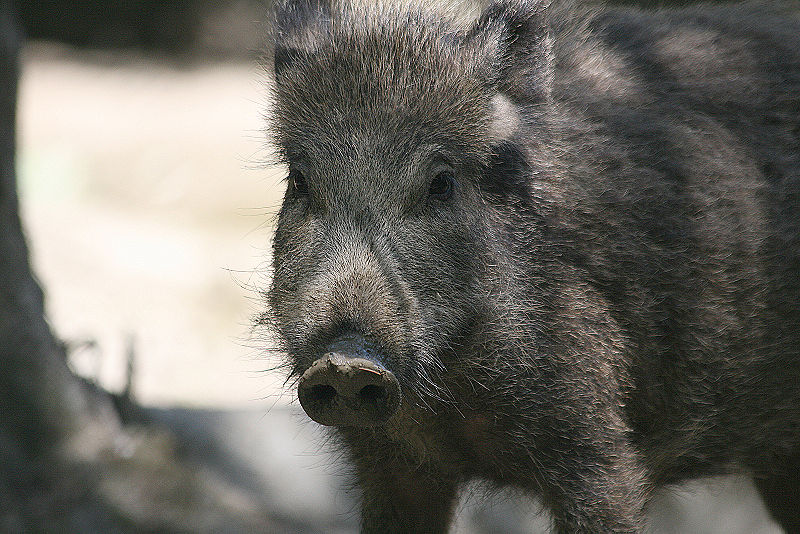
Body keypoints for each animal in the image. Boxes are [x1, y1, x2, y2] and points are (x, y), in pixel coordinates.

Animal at [264, 0, 800, 532]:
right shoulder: (391, 462)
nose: (343, 363)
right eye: (300, 181)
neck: (451, 405)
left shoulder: (598, 446)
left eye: (442, 183)